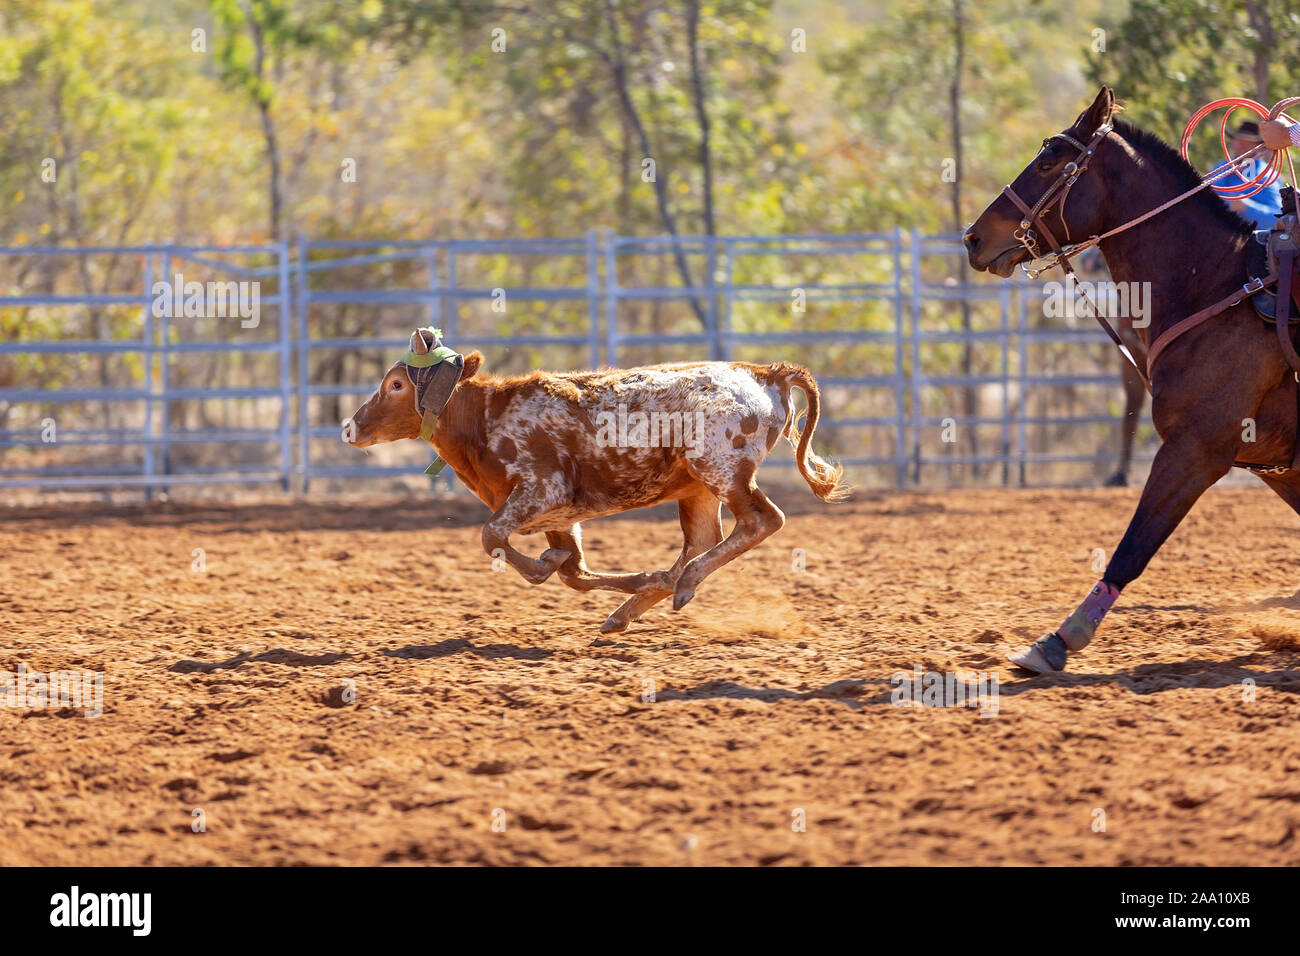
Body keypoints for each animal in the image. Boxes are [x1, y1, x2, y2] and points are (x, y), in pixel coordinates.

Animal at [346, 328, 846, 632]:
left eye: (395, 385)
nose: (350, 427)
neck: (485, 418)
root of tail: (764, 374)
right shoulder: (560, 517)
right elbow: (574, 572)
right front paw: (640, 579)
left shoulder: (541, 492)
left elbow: (494, 538)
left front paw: (544, 565)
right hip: (696, 488)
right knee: (704, 539)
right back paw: (638, 603)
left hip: (721, 470)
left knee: (762, 521)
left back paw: (681, 584)